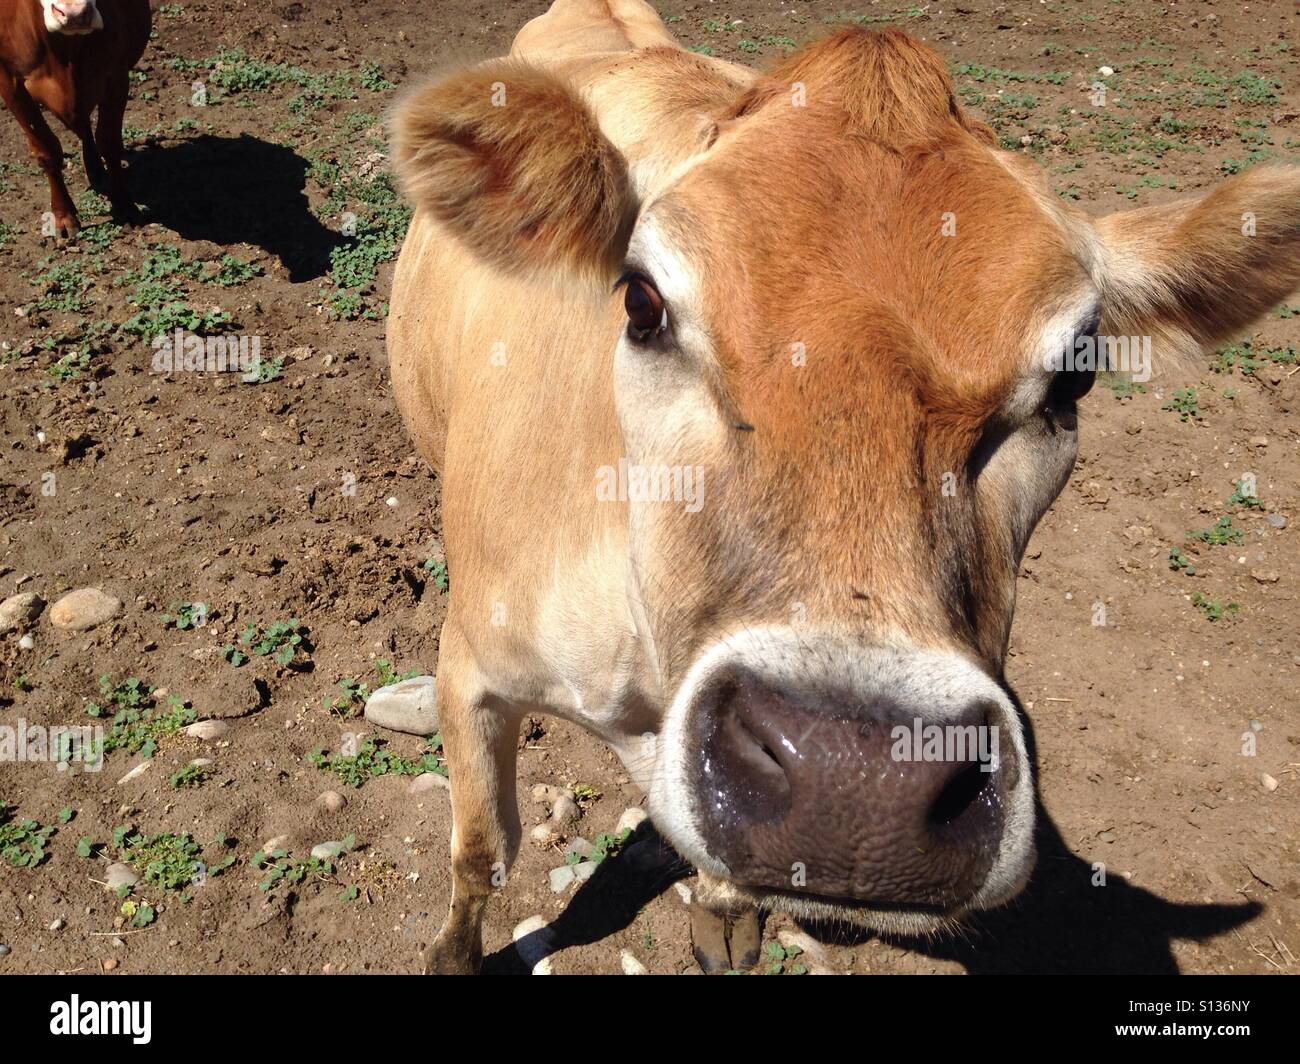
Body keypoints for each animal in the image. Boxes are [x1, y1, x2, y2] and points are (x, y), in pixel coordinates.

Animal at [0, 0, 151, 238]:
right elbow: (47, 149)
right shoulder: (10, 82)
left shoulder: (116, 74)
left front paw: (125, 207)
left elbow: (109, 142)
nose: (74, 15)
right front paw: (63, 218)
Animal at [387, 0, 1300, 973]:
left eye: (1076, 376)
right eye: (640, 302)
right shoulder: (470, 664)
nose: (855, 778)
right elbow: (482, 849)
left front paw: (724, 918)